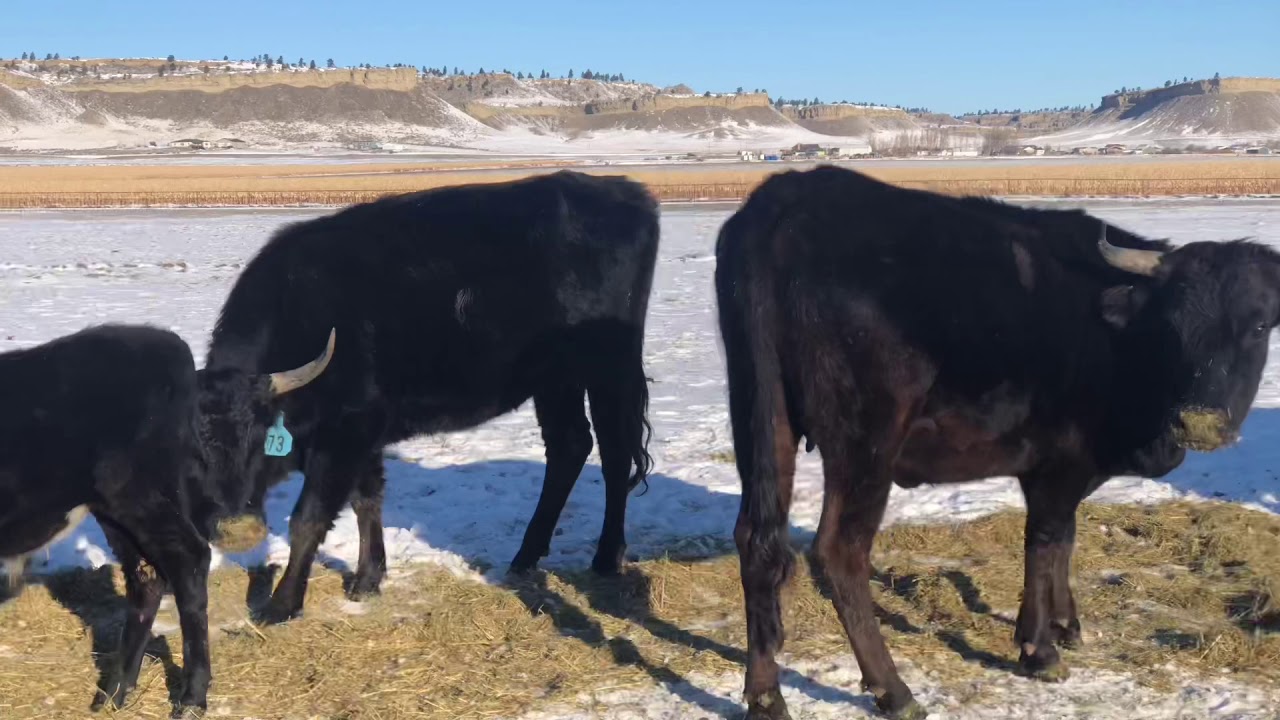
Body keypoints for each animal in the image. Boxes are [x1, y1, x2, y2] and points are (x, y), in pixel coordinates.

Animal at [0, 323, 335, 718]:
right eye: (202, 440)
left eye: (258, 438)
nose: (240, 527)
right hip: (119, 513)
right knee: (147, 577)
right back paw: (112, 695)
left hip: (141, 501)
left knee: (187, 563)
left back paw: (190, 697)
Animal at [203, 169, 660, 623]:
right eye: (197, 449)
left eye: (257, 439)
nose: (231, 526)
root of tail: (622, 188)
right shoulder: (364, 435)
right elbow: (367, 500)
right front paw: (368, 578)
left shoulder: (344, 435)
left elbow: (309, 517)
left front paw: (282, 604)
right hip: (555, 379)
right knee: (570, 445)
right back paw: (525, 557)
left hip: (608, 369)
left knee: (614, 452)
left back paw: (605, 558)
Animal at [714, 165, 1280, 719]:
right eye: (1172, 325)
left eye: (1257, 325)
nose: (1200, 422)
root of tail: (787, 197)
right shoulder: (1060, 462)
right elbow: (1045, 543)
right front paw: (1039, 649)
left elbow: (1066, 541)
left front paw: (1064, 626)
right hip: (865, 442)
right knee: (840, 551)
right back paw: (893, 691)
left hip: (763, 418)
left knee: (757, 540)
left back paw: (766, 696)